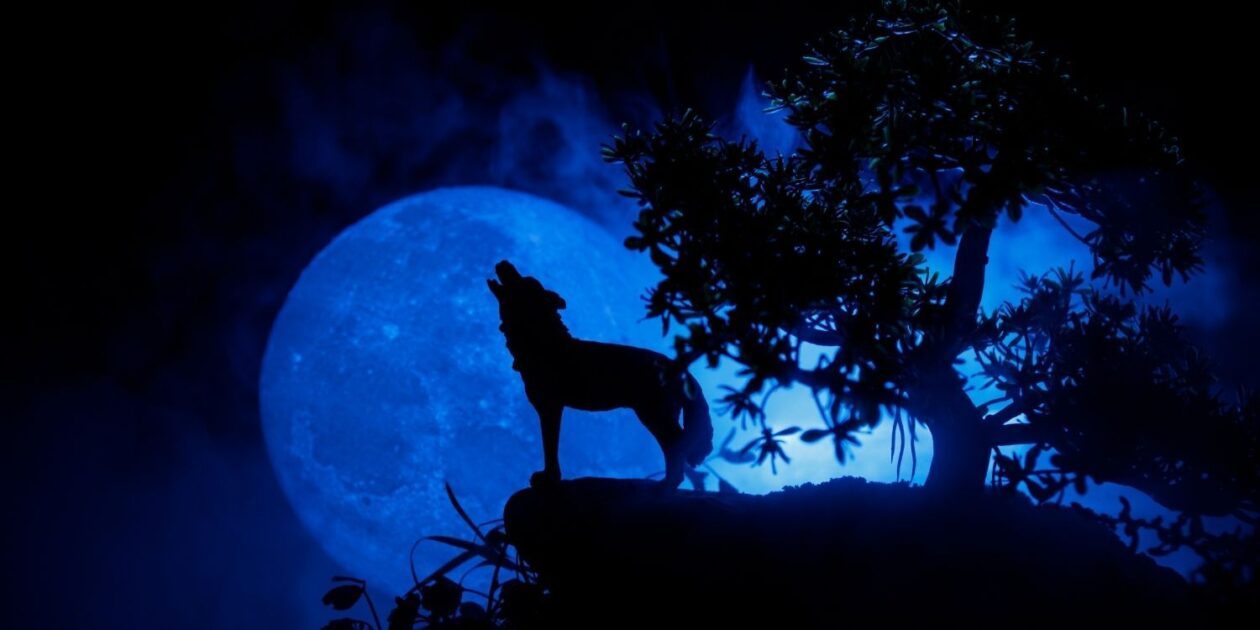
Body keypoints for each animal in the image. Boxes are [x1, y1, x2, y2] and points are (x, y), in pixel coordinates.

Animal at [487, 260, 713, 489]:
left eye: (525, 280)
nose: (504, 262)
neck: (542, 339)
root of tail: (677, 366)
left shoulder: (550, 408)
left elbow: (550, 447)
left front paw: (549, 479)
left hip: (654, 416)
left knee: (678, 447)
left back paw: (664, 485)